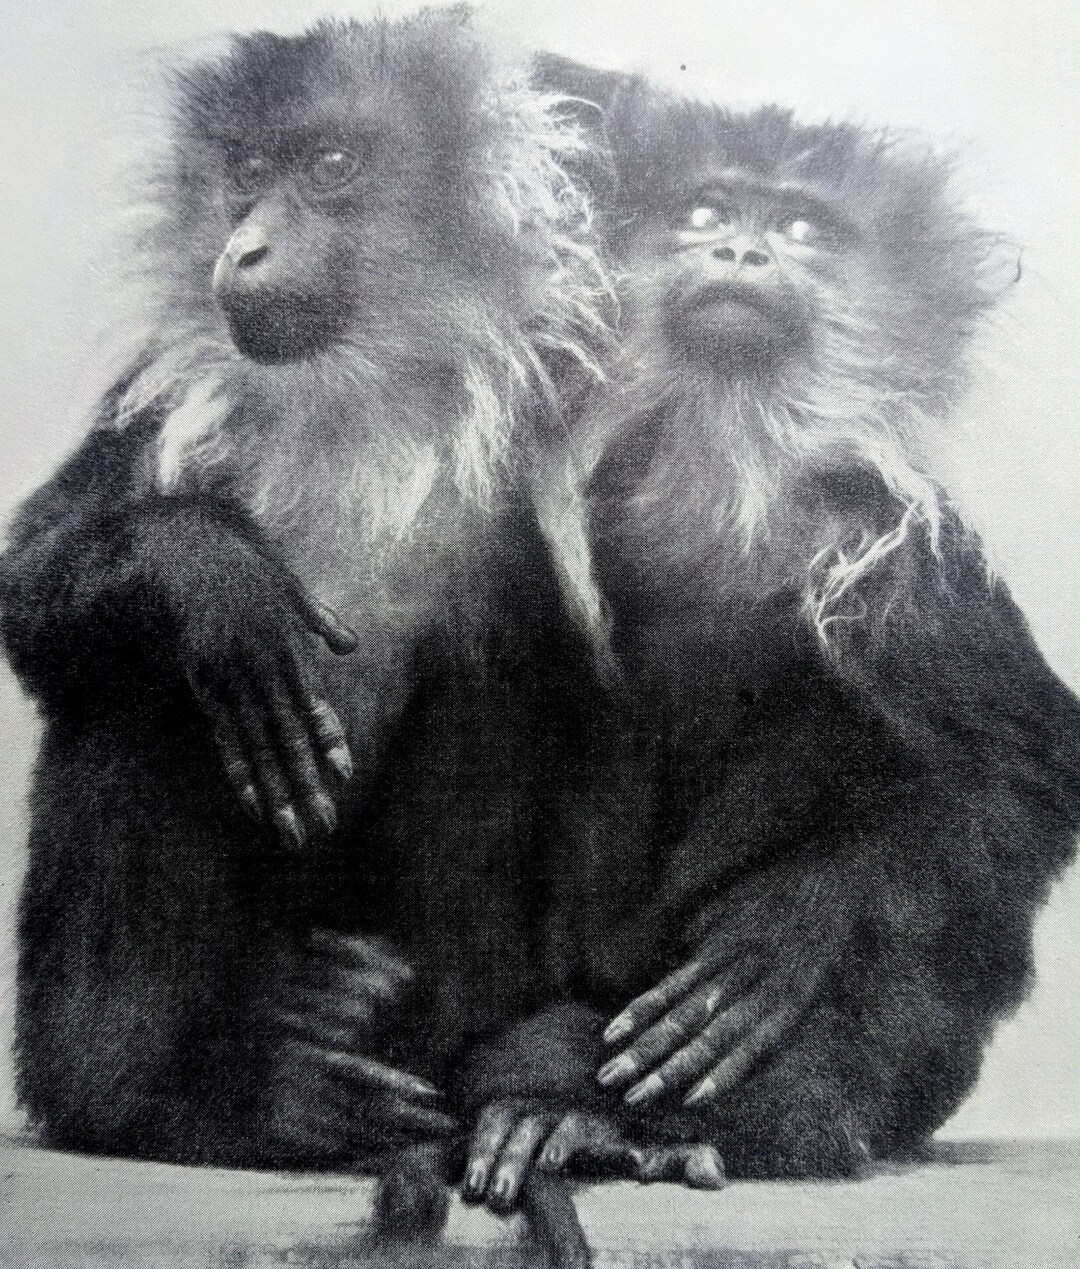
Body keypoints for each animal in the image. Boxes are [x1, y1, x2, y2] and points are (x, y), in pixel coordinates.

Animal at [0, 13, 608, 1173]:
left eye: (330, 168)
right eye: (245, 174)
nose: (245, 247)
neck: (353, 403)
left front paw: (552, 1083)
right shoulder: (160, 402)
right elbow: (28, 594)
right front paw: (209, 574)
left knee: (490, 685)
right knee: (143, 687)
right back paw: (182, 1098)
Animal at [513, 59, 1080, 1183]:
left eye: (803, 228)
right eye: (705, 213)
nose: (743, 251)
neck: (726, 456)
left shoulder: (895, 547)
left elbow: (1019, 772)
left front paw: (796, 920)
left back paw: (749, 1121)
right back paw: (559, 1105)